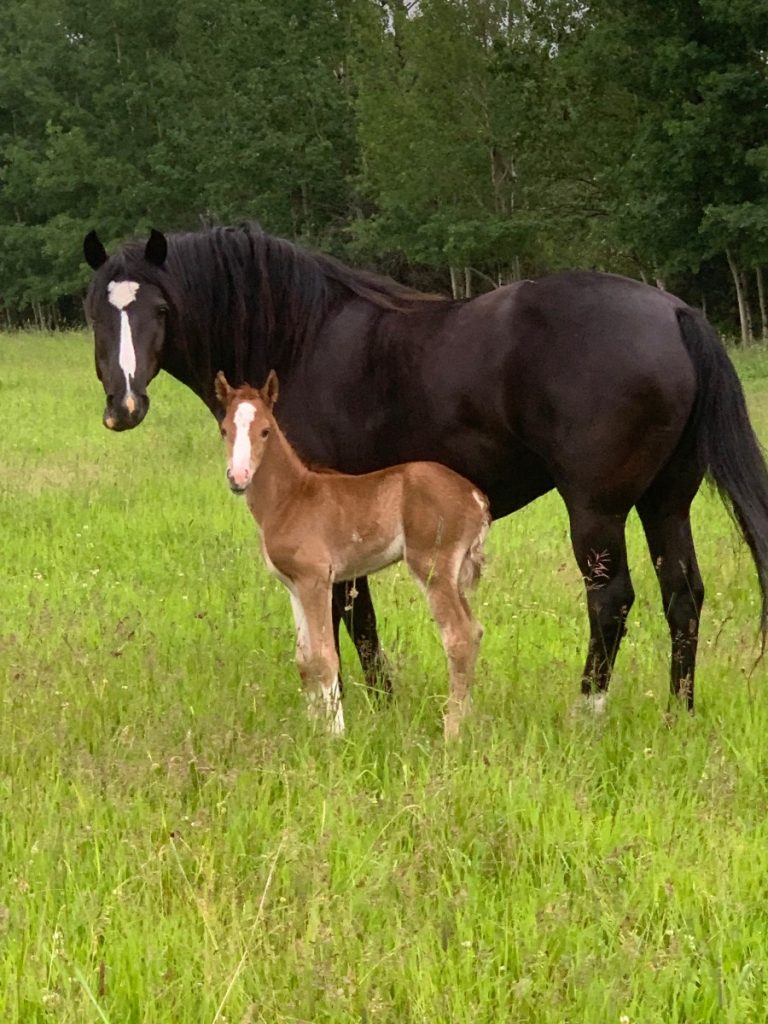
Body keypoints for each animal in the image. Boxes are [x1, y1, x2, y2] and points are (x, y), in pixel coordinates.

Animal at [215, 370, 489, 737]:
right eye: (224, 429)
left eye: (265, 430)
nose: (238, 477)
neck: (291, 497)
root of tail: (475, 496)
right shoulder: (294, 586)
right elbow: (304, 661)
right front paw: (313, 731)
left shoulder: (316, 580)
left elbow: (324, 656)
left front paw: (335, 734)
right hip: (454, 574)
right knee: (474, 632)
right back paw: (468, 722)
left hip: (433, 567)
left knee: (458, 637)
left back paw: (451, 733)